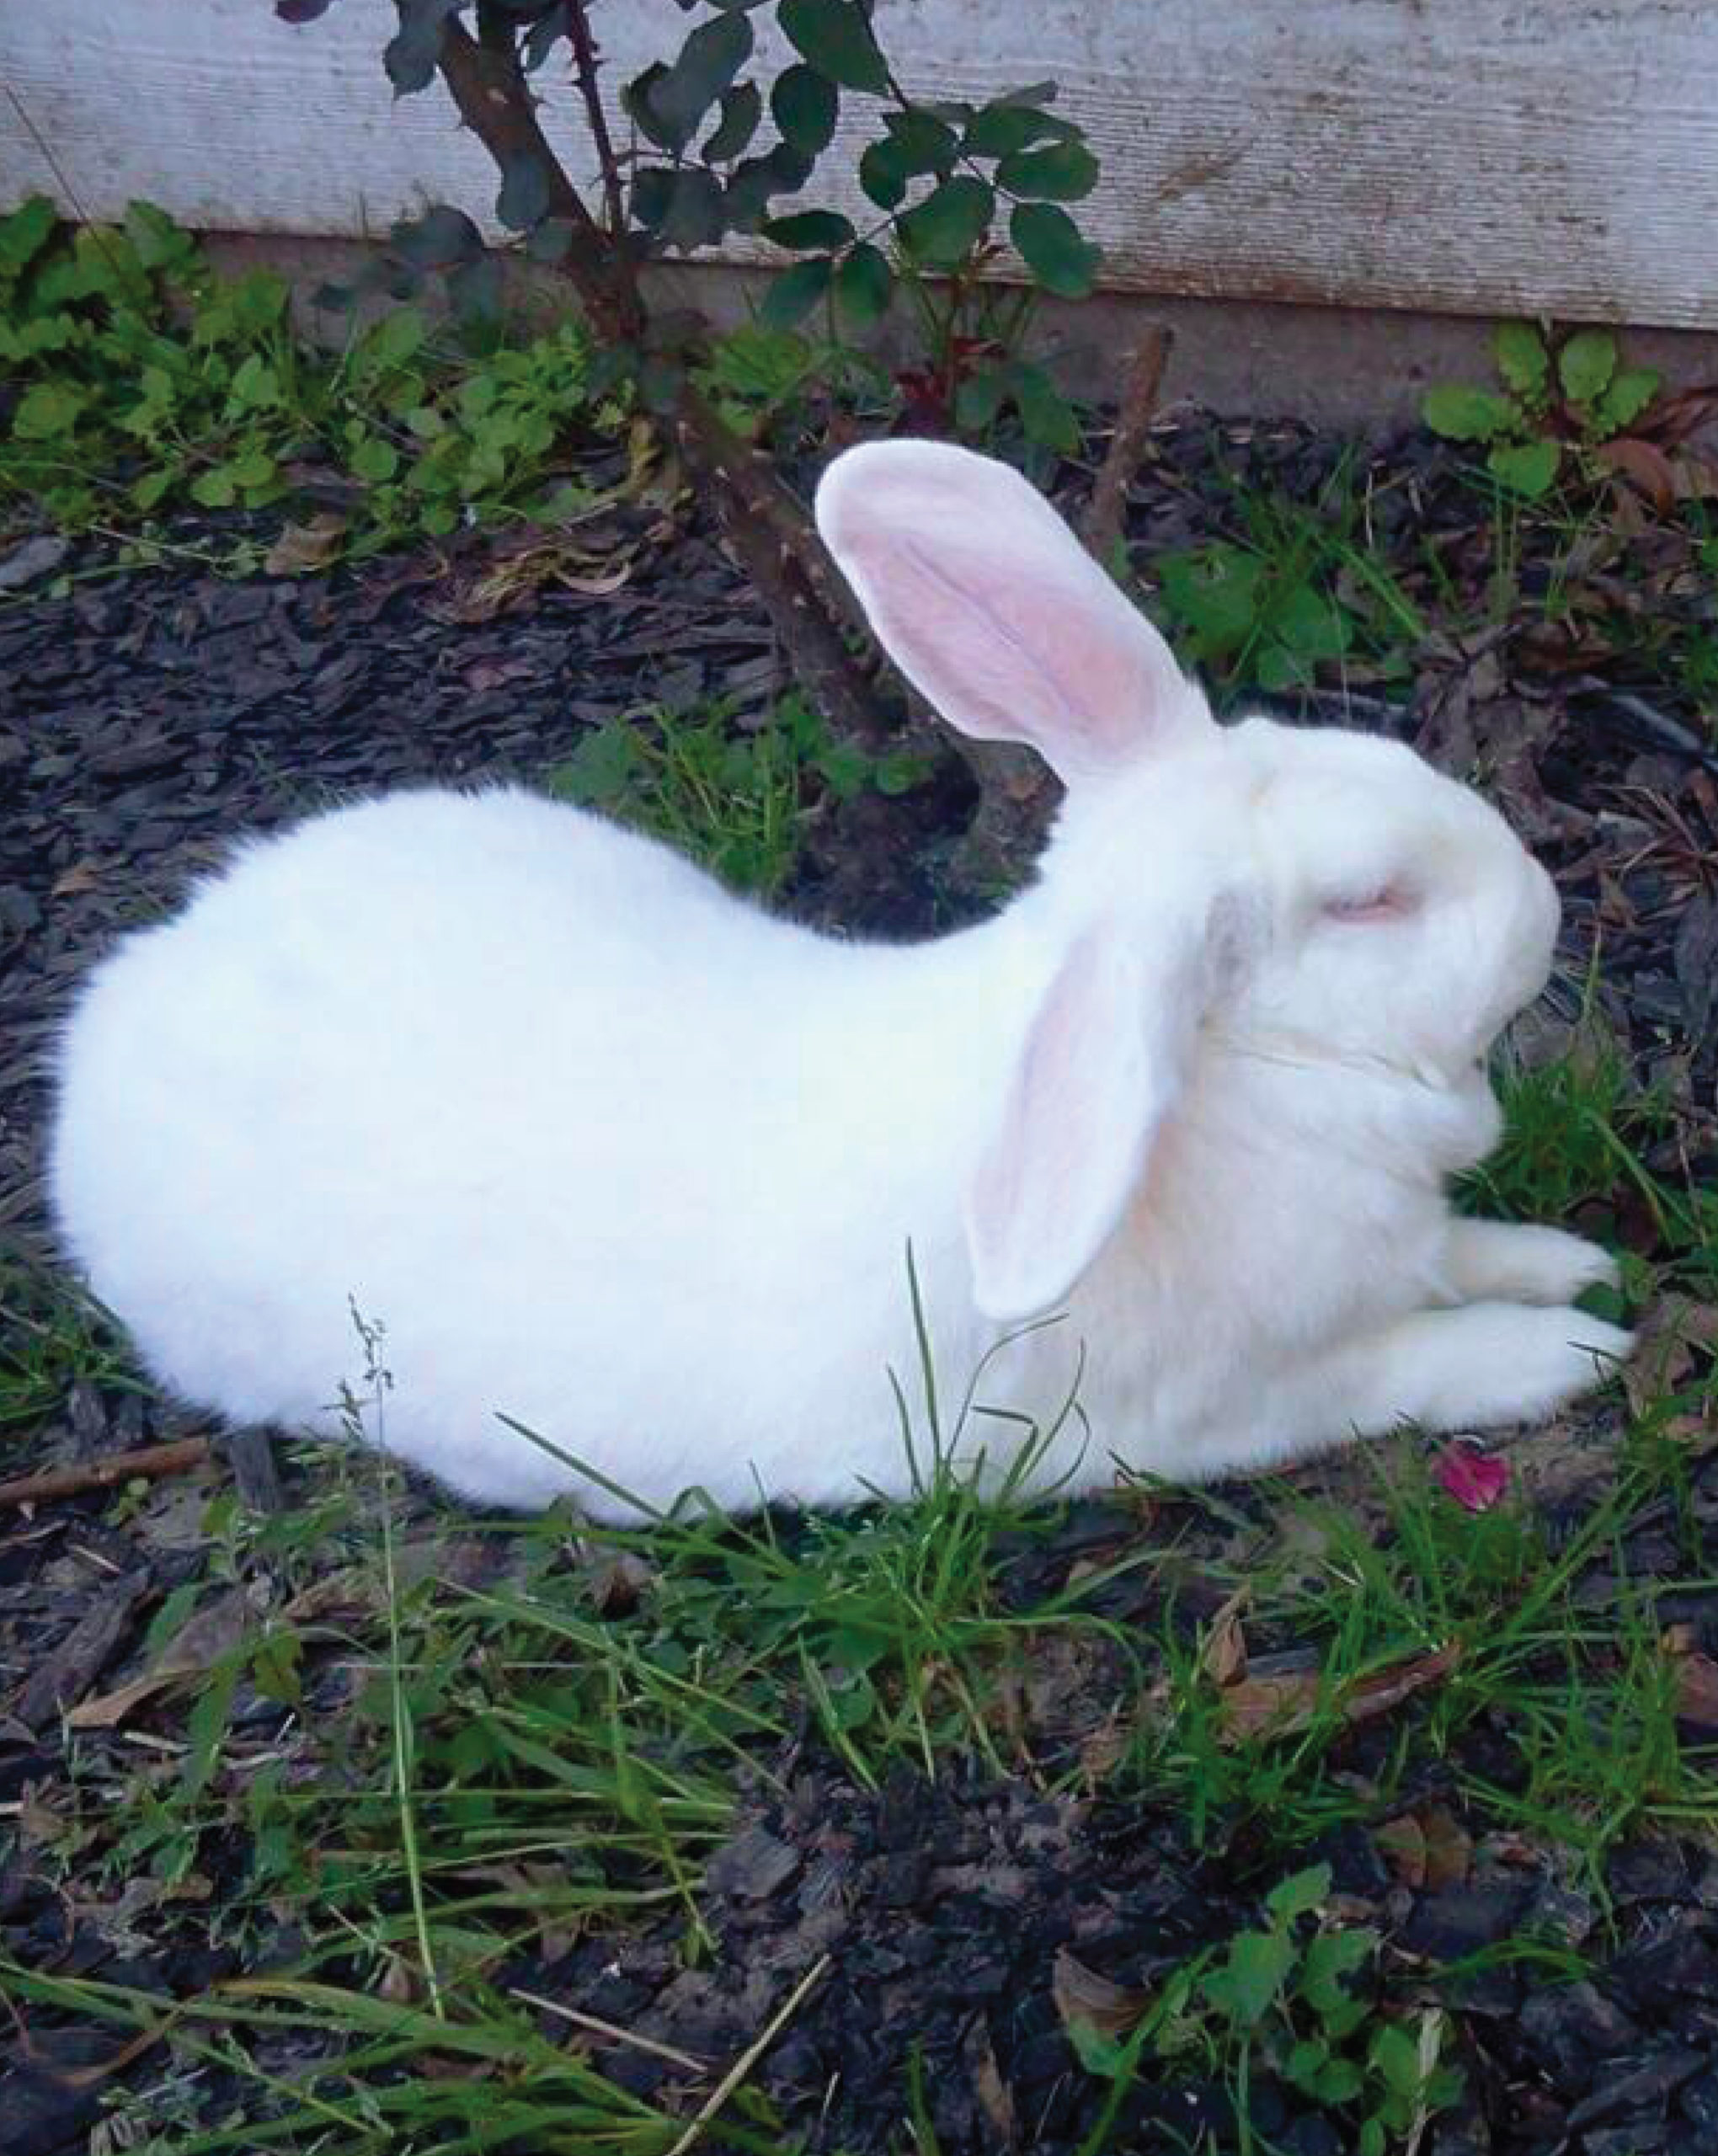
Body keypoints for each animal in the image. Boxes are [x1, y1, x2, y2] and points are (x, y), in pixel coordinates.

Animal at [48, 439, 1633, 1520]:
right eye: (1368, 902)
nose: (1543, 901)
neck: (1241, 1086)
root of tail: (127, 997)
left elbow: (1462, 1249)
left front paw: (1565, 1261)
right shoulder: (1213, 1410)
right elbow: (1397, 1372)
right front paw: (1564, 1350)